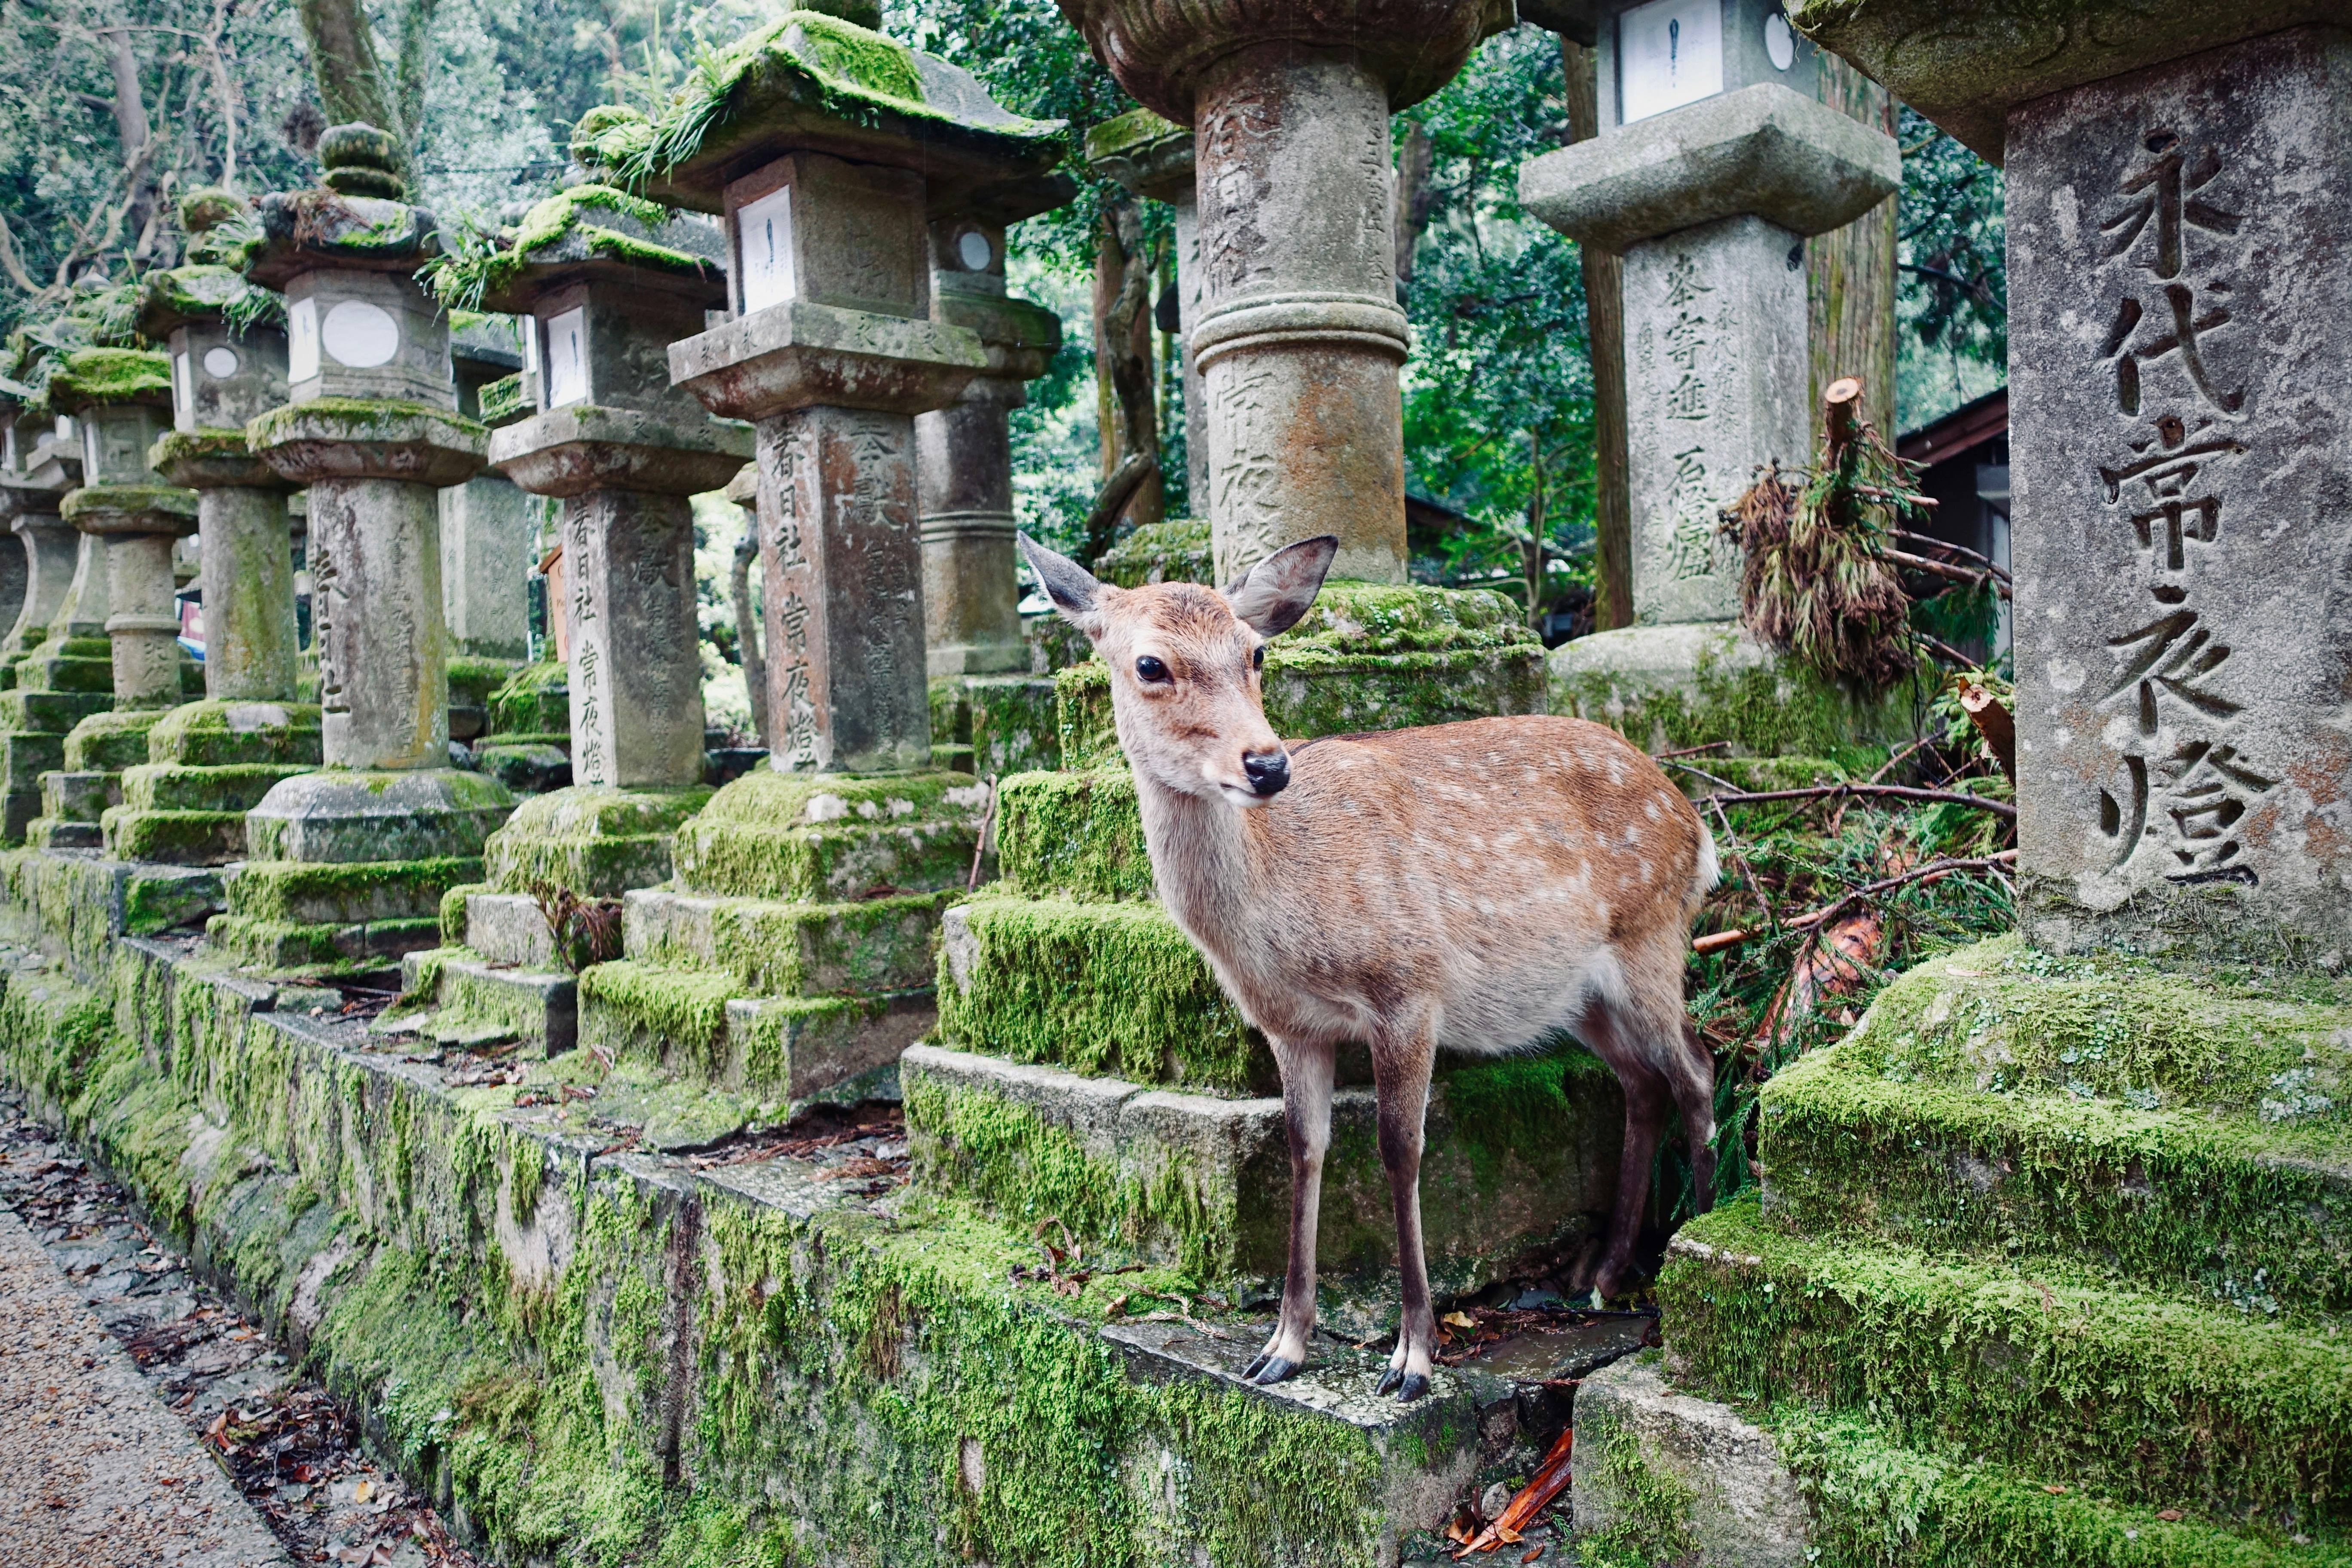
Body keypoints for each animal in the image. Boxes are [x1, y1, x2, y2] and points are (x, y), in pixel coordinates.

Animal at [1015, 530, 1720, 1403]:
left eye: (1255, 653)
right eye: (1150, 664)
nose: (1267, 765)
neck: (1278, 925)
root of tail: (1698, 826)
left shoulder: (1409, 987)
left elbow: (1399, 1148)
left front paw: (1412, 1356)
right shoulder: (1288, 1024)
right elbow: (1304, 1148)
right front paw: (1282, 1346)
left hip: (1652, 937)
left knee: (1696, 1067)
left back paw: (1688, 1245)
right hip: (1580, 993)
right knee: (1644, 1084)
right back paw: (1600, 1272)